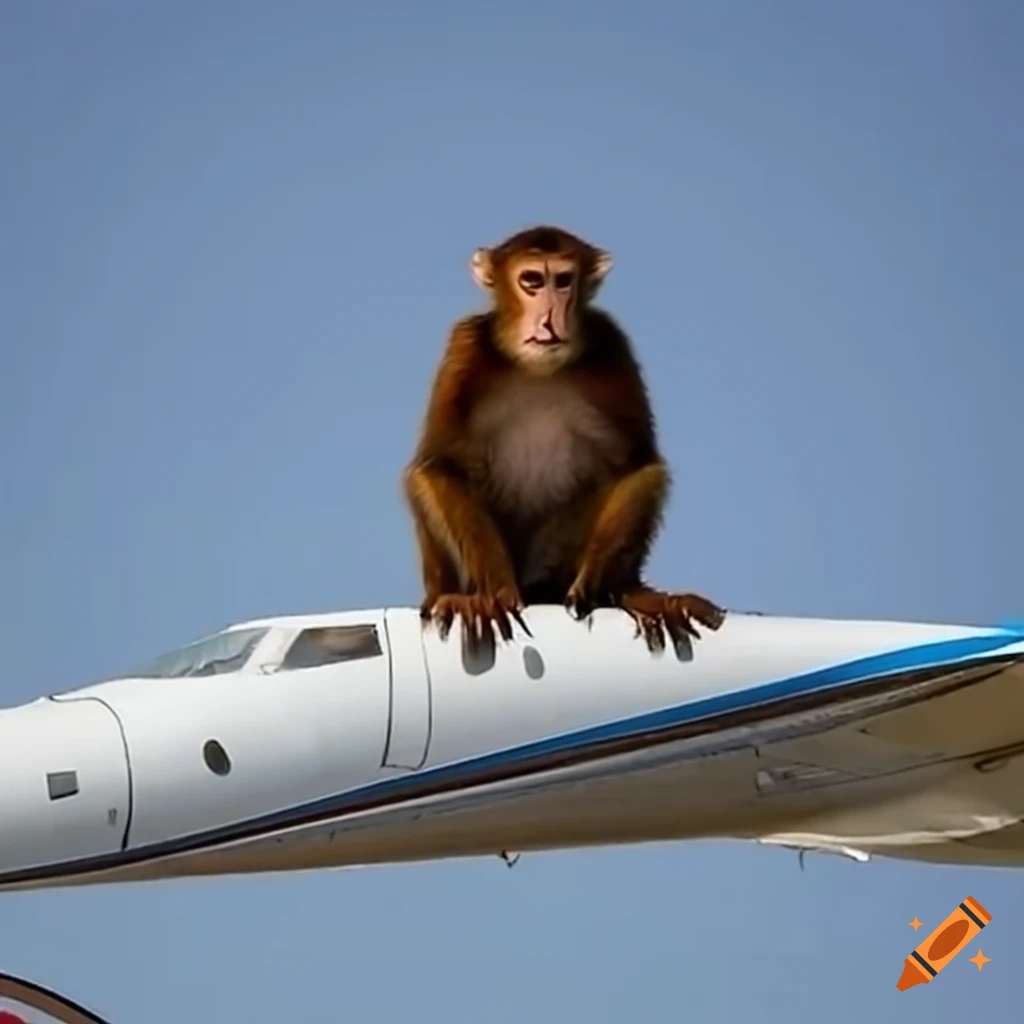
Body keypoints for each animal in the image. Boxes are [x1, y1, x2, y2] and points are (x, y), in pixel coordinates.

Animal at [401, 224, 726, 658]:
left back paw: (629, 592)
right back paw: (457, 597)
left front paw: (597, 586)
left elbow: (638, 463)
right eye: (532, 281)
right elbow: (439, 465)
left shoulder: (612, 344)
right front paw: (494, 593)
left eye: (563, 281)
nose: (550, 317)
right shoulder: (466, 345)